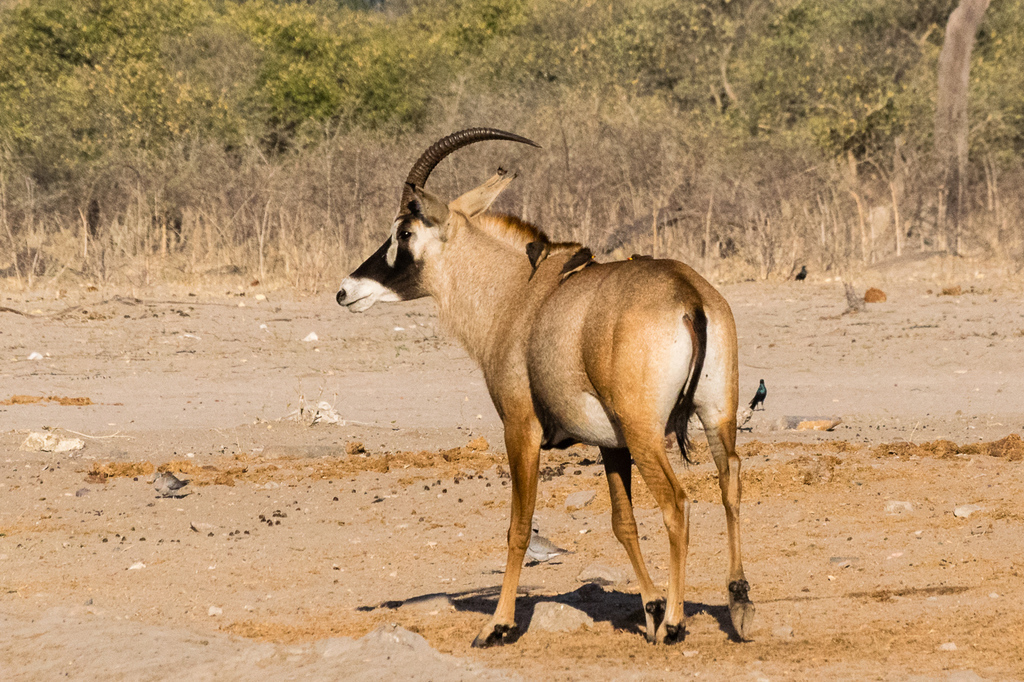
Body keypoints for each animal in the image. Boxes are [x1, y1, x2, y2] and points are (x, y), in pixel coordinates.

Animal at [336, 128, 754, 647]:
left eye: (405, 232)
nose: (346, 290)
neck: (517, 292)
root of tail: (688, 295)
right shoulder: (610, 444)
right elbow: (623, 522)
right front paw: (650, 605)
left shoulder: (521, 428)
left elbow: (519, 526)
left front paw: (497, 625)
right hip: (717, 417)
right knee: (730, 483)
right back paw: (738, 605)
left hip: (645, 433)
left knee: (677, 504)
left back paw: (675, 625)